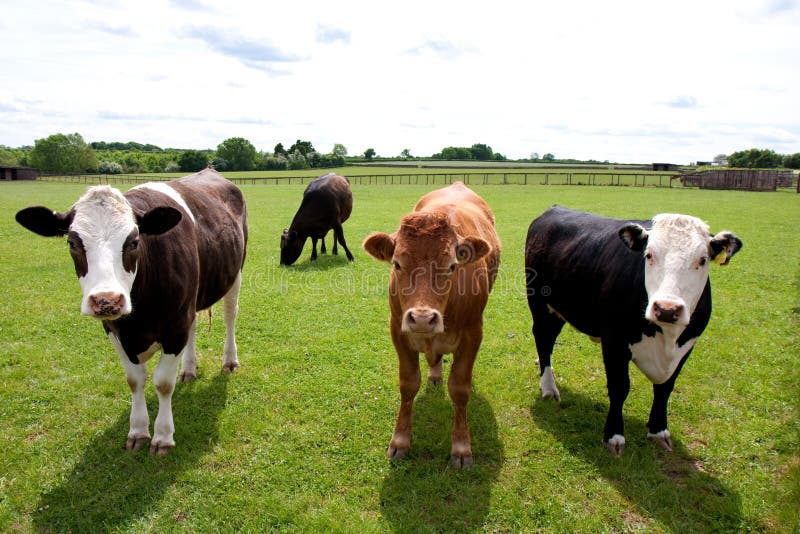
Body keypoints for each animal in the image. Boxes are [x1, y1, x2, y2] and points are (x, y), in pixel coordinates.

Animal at [15, 168, 248, 456]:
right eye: (72, 243)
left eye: (134, 241)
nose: (106, 300)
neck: (137, 322)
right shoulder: (114, 329)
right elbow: (134, 379)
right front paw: (138, 430)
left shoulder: (175, 326)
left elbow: (163, 383)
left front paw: (162, 435)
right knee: (195, 328)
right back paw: (189, 369)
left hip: (234, 274)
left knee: (230, 316)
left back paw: (229, 360)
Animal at [363, 181, 501, 468]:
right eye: (397, 264)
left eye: (452, 266)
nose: (423, 318)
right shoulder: (398, 329)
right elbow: (408, 384)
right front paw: (400, 440)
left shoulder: (473, 334)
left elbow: (460, 389)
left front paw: (461, 447)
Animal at [525, 206, 742, 455]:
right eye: (649, 255)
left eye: (703, 259)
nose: (667, 309)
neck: (666, 338)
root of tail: (554, 208)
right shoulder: (614, 340)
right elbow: (620, 388)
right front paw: (614, 436)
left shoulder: (687, 345)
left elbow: (665, 388)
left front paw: (658, 430)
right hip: (542, 306)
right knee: (544, 341)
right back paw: (549, 387)